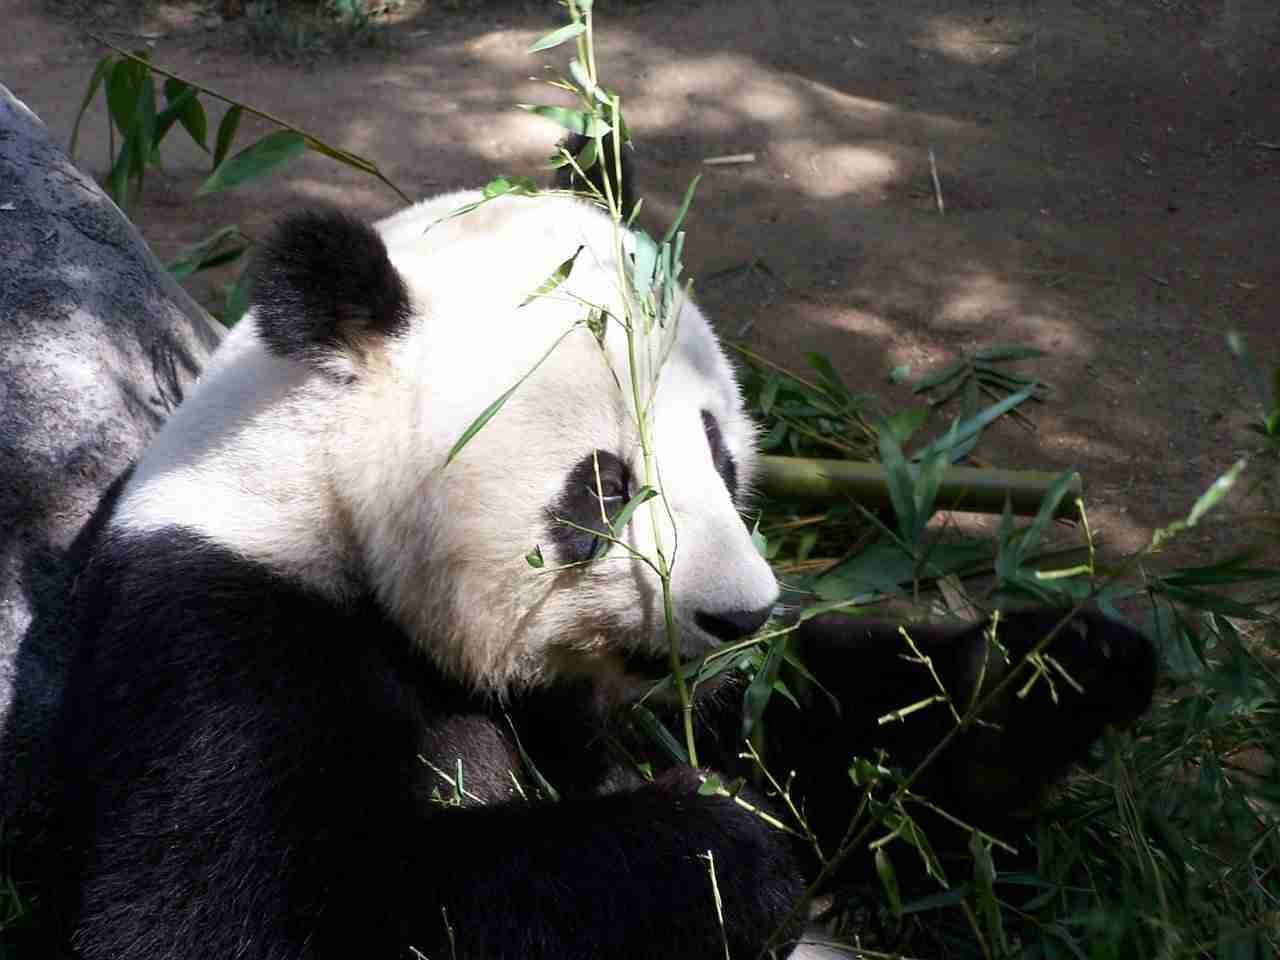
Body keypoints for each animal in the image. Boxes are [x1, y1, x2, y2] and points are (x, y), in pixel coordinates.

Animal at [51, 147, 1157, 960]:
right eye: (607, 484)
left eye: (719, 451)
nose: (737, 614)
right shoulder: (233, 627)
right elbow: (241, 913)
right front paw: (721, 853)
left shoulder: (681, 700)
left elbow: (851, 757)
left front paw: (1053, 668)